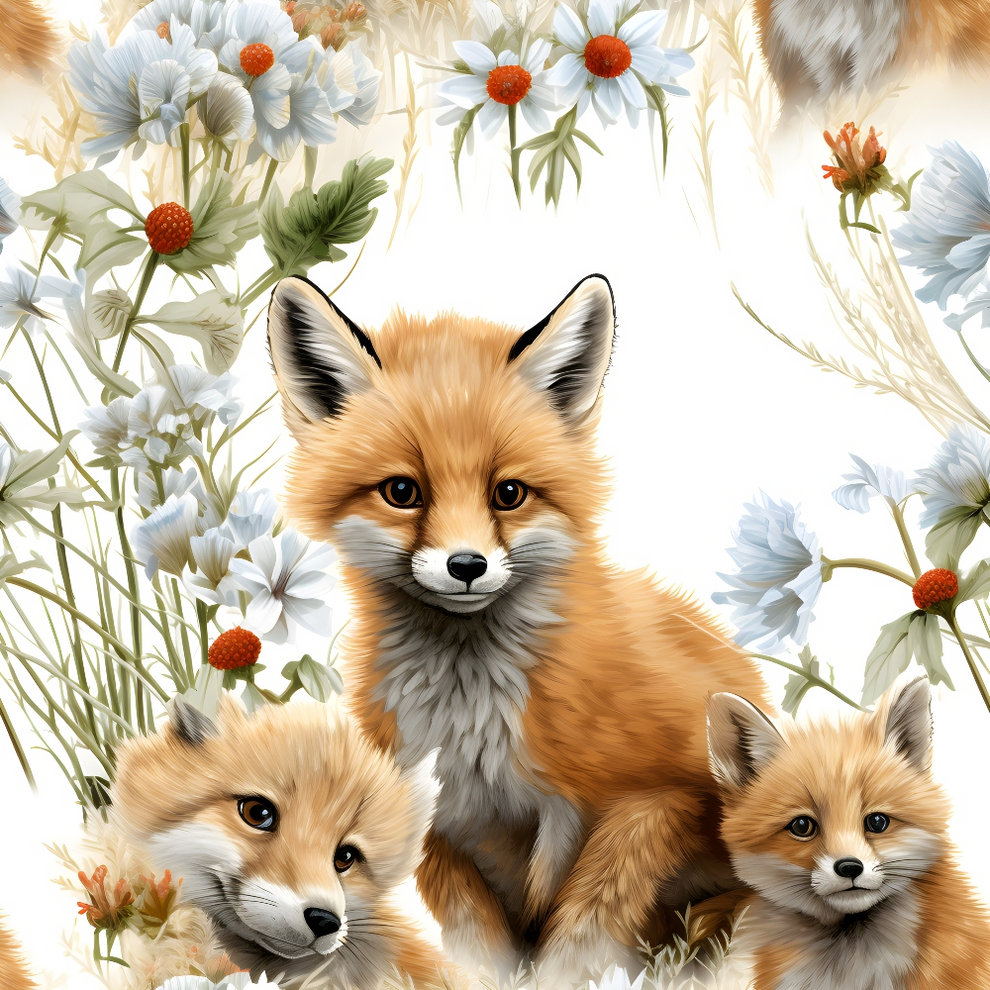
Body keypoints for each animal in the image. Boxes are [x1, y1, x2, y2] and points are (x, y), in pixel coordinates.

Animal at [264, 272, 772, 983]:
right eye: (401, 492)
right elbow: (480, 947)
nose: (467, 566)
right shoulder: (440, 825)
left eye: (509, 494)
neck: (476, 724)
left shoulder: (658, 797)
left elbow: (584, 928)